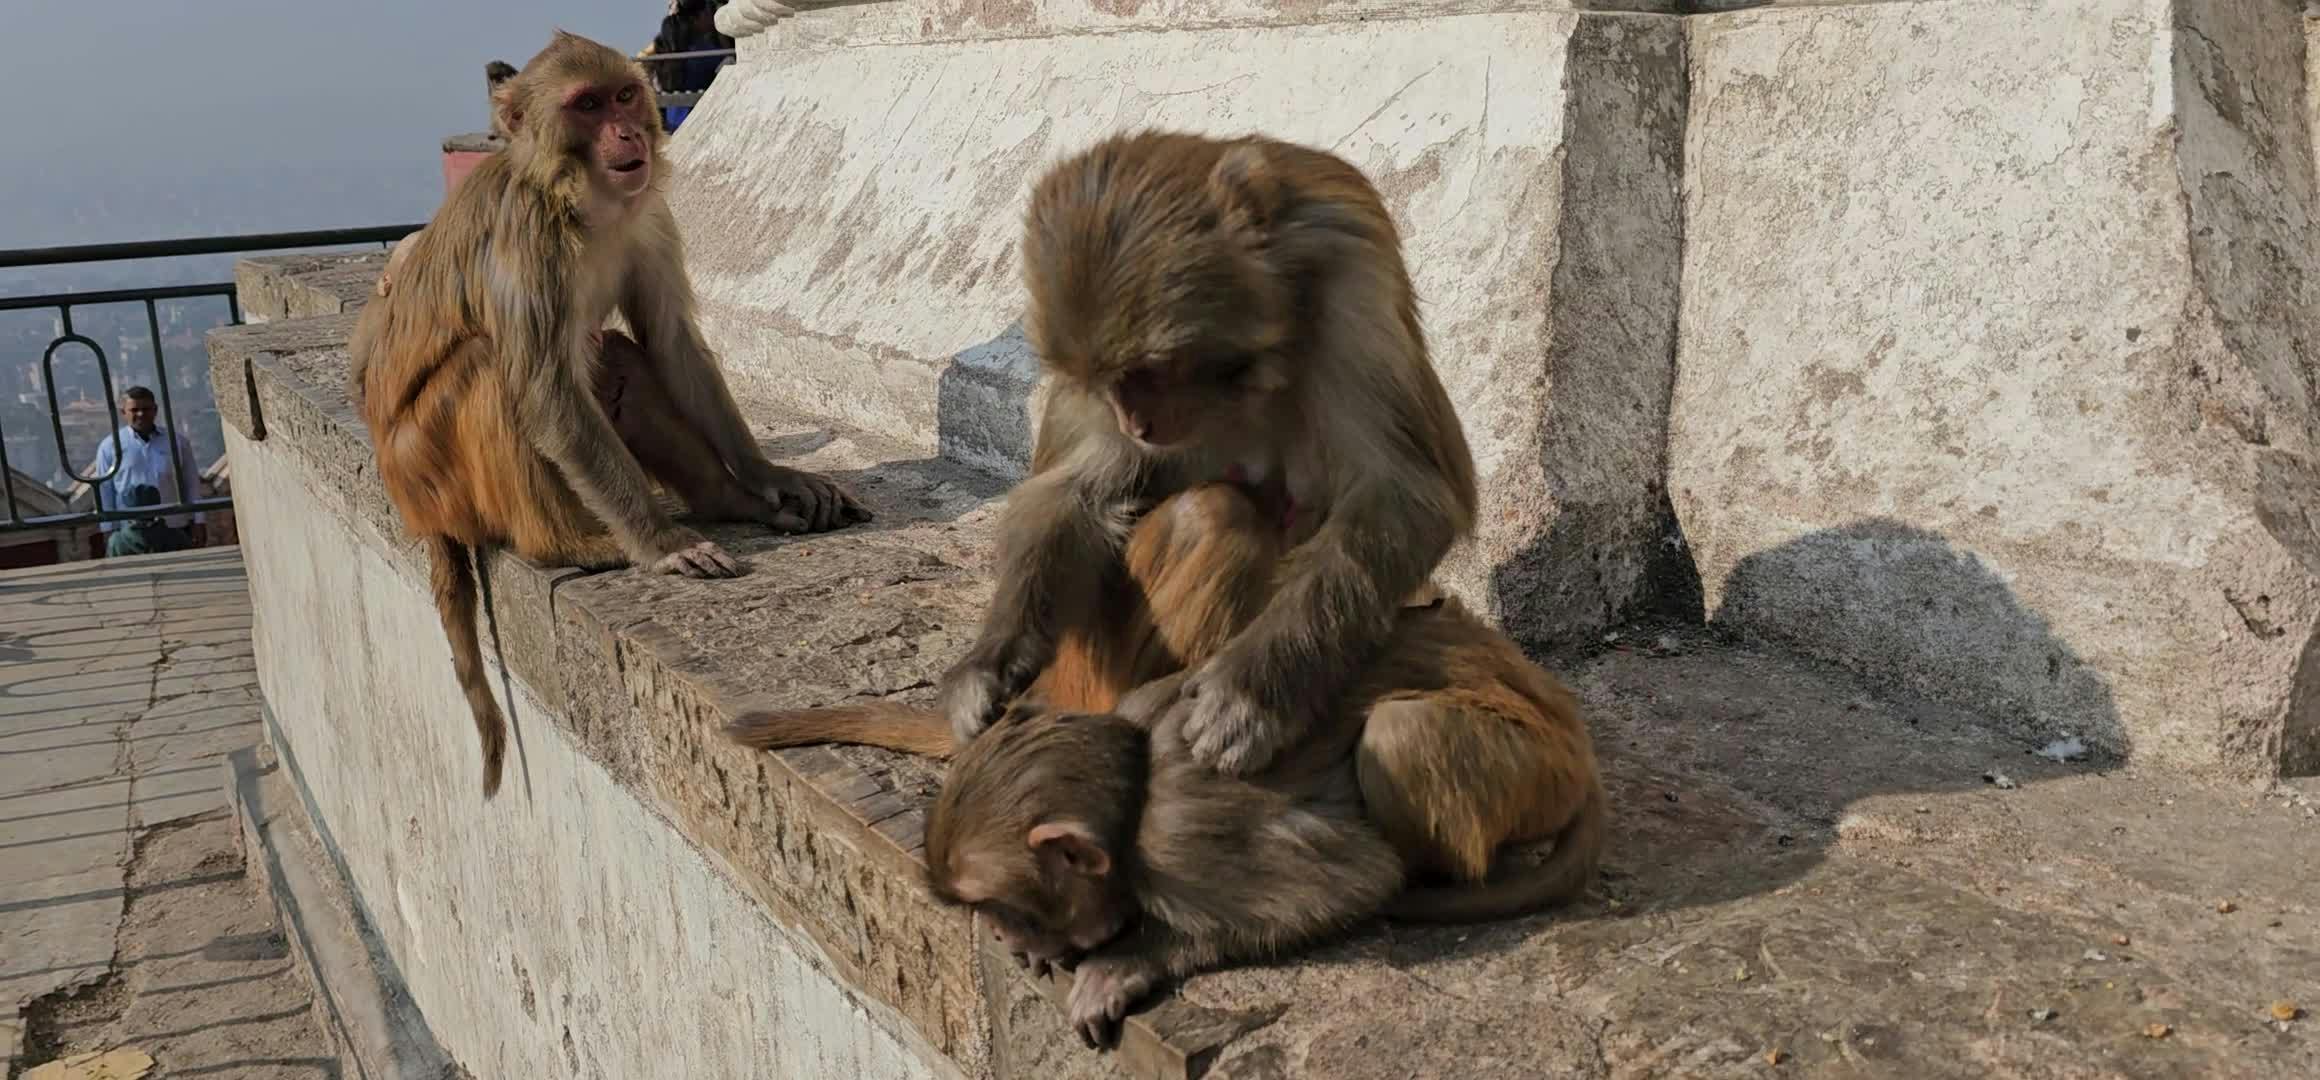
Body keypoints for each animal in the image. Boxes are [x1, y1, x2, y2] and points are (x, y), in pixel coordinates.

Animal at [351, 32, 870, 795]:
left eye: (624, 96)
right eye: (586, 106)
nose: (628, 133)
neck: (581, 203)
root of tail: (410, 502)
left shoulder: (647, 215)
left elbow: (671, 341)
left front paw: (769, 477)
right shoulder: (526, 235)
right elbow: (545, 390)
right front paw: (657, 542)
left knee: (615, 356)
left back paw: (730, 502)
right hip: (425, 466)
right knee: (490, 365)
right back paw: (567, 542)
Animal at [729, 484, 1606, 1045]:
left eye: (1004, 905)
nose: (1005, 936)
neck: (1135, 782)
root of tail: (1575, 735)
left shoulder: (1184, 849)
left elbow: (1340, 885)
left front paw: (1126, 963)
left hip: (1532, 768)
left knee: (1403, 731)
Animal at [934, 130, 1480, 780]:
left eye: (1149, 370)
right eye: (1110, 381)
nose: (1135, 424)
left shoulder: (1354, 278)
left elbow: (1401, 489)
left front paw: (1253, 691)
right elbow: (1074, 492)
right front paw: (993, 660)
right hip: (1090, 664)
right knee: (1214, 518)